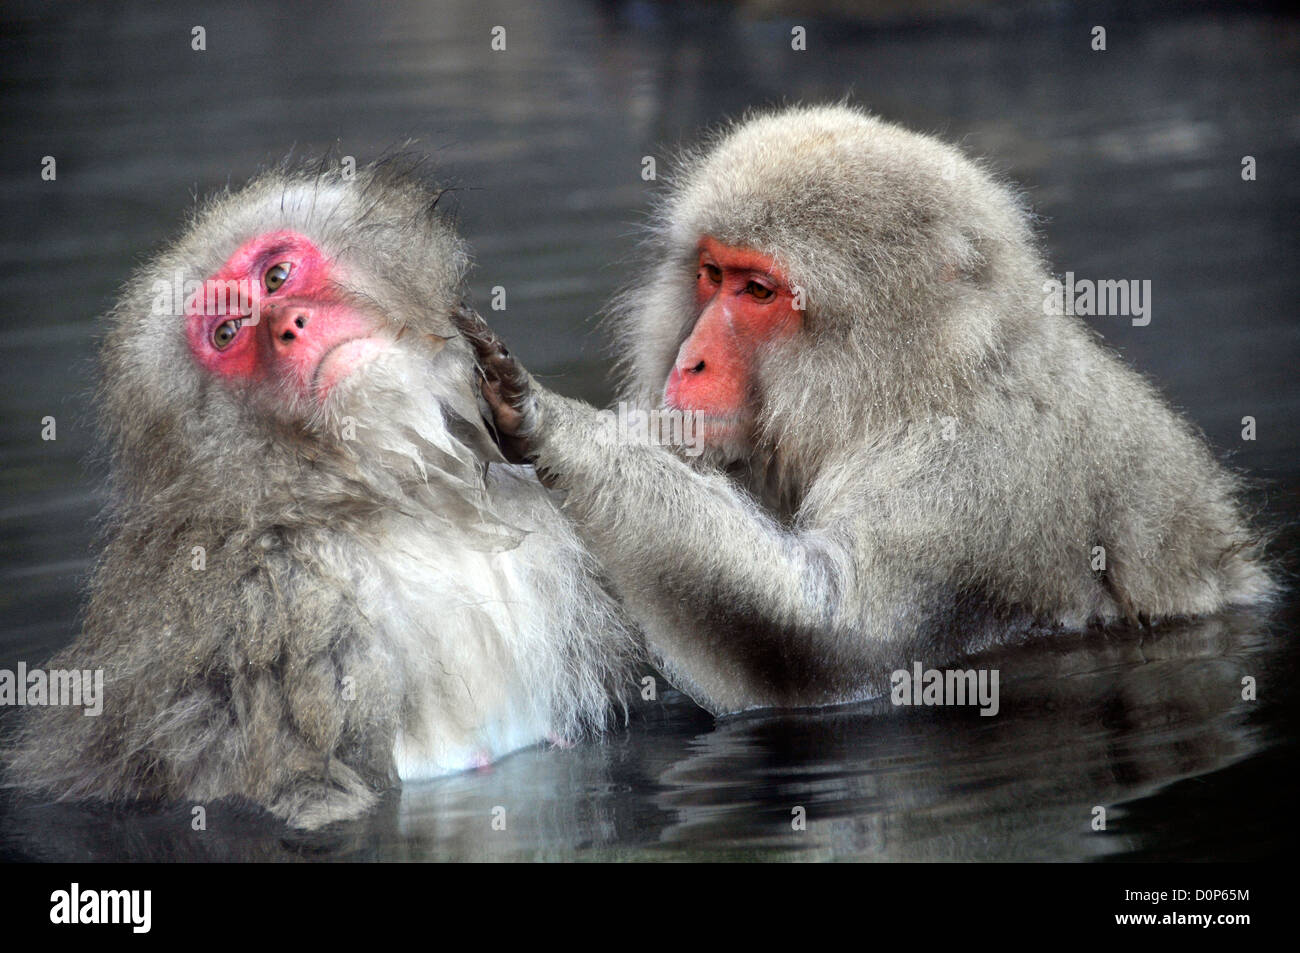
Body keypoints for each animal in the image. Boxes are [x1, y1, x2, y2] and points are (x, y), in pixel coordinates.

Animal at [2, 157, 638, 830]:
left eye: (277, 276)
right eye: (227, 332)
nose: (288, 326)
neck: (390, 503)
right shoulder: (263, 609)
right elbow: (312, 797)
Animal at [457, 104, 1276, 717]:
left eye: (758, 291)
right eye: (712, 274)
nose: (689, 360)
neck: (920, 387)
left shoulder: (973, 478)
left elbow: (830, 639)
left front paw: (556, 426)